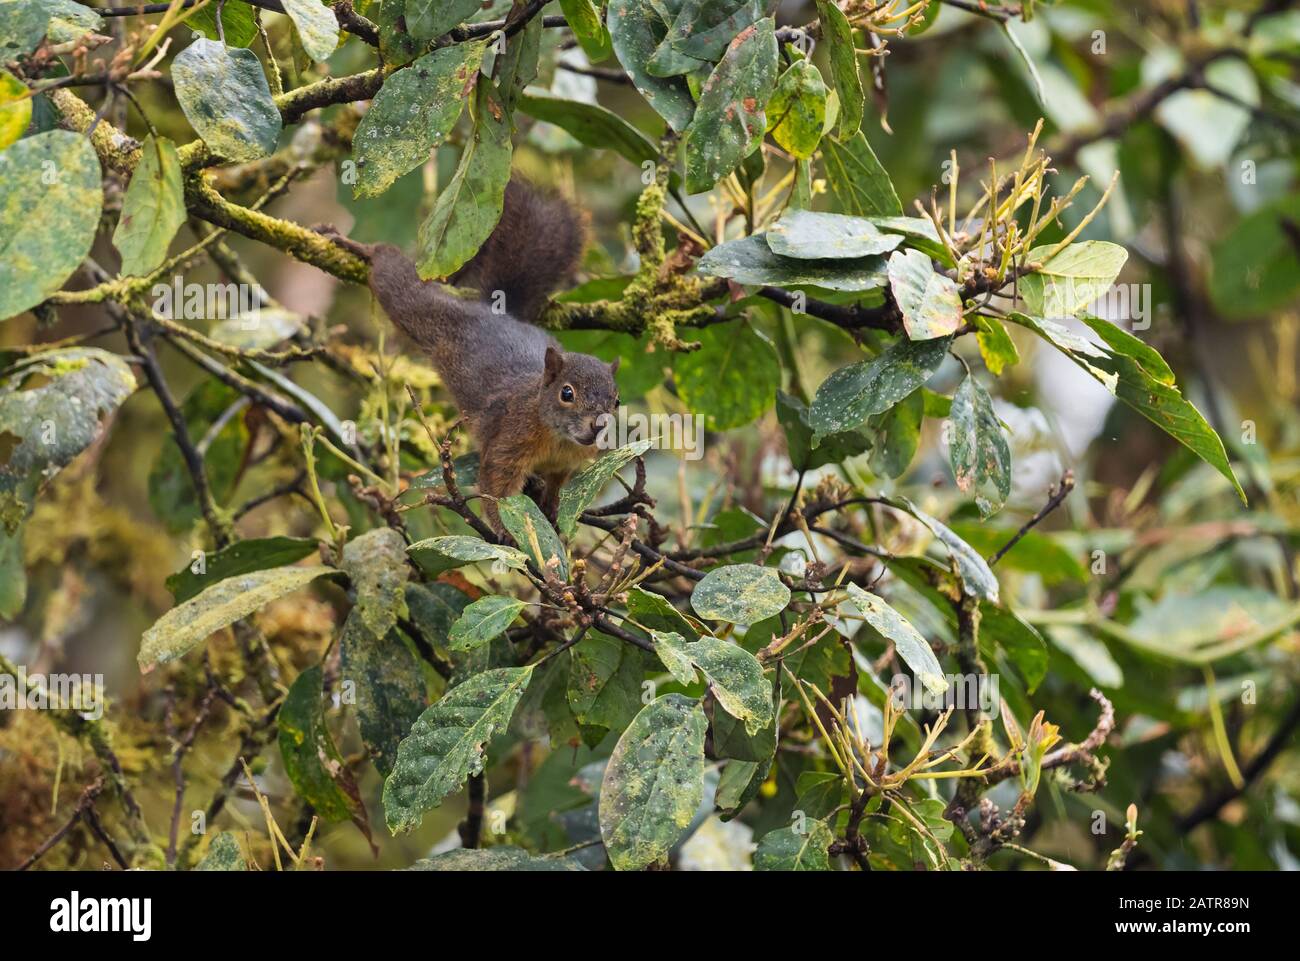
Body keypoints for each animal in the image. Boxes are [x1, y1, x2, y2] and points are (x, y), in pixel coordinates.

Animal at [321, 179, 619, 536]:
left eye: (616, 401)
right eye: (567, 393)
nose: (598, 425)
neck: (556, 437)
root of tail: (494, 311)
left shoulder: (566, 464)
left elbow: (557, 486)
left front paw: (551, 509)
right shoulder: (508, 441)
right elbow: (496, 488)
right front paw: (506, 532)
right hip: (422, 310)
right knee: (394, 276)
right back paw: (358, 248)